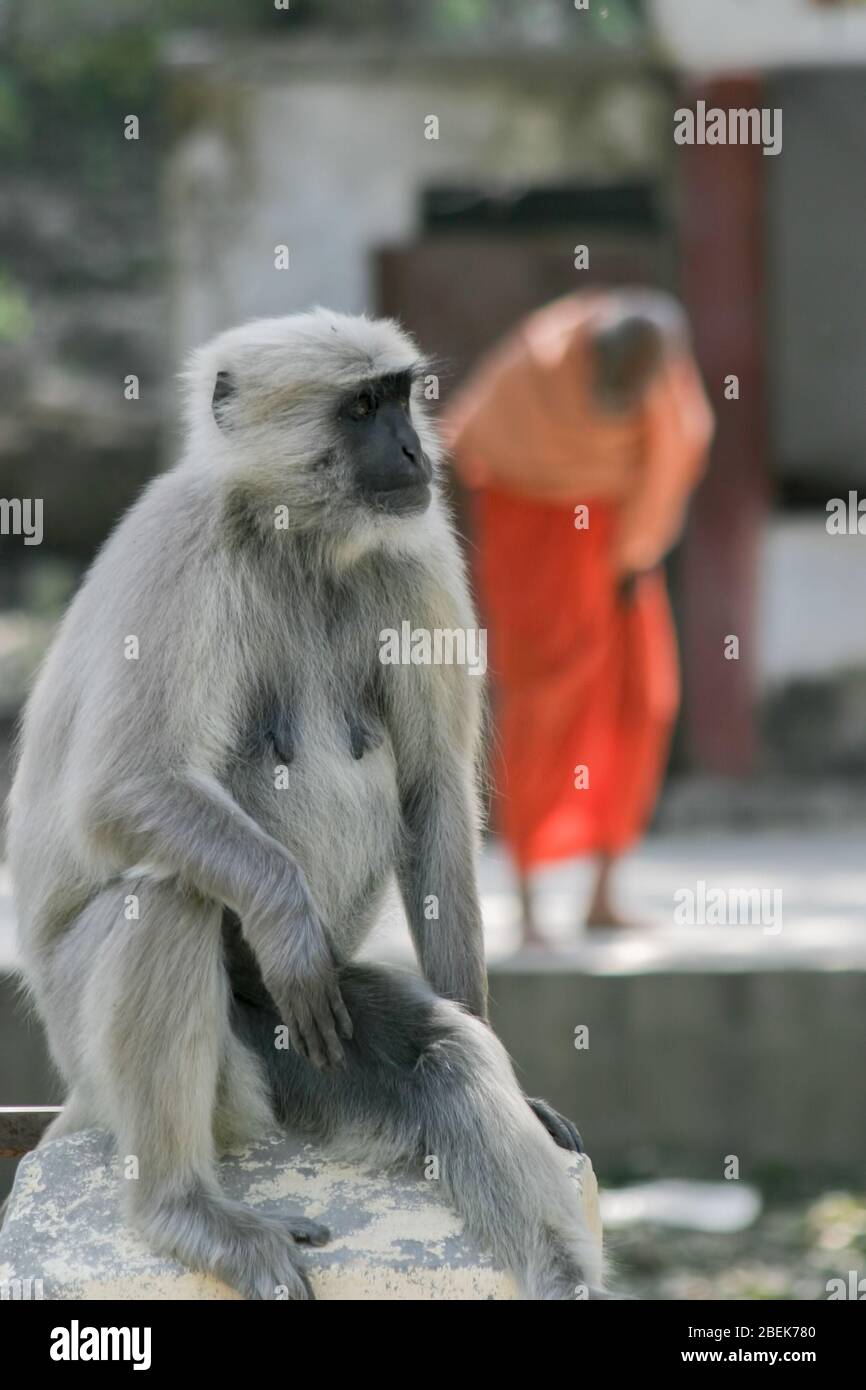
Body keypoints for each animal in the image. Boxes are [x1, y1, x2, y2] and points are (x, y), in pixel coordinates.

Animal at [8, 308, 603, 1301]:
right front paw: (285, 916)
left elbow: (433, 790)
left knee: (444, 1052)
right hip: (93, 1036)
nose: (411, 447)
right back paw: (183, 1209)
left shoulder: (418, 547)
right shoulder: (185, 541)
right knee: (165, 896)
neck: (298, 536)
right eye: (361, 408)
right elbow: (124, 785)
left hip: (288, 1056)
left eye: (400, 398)